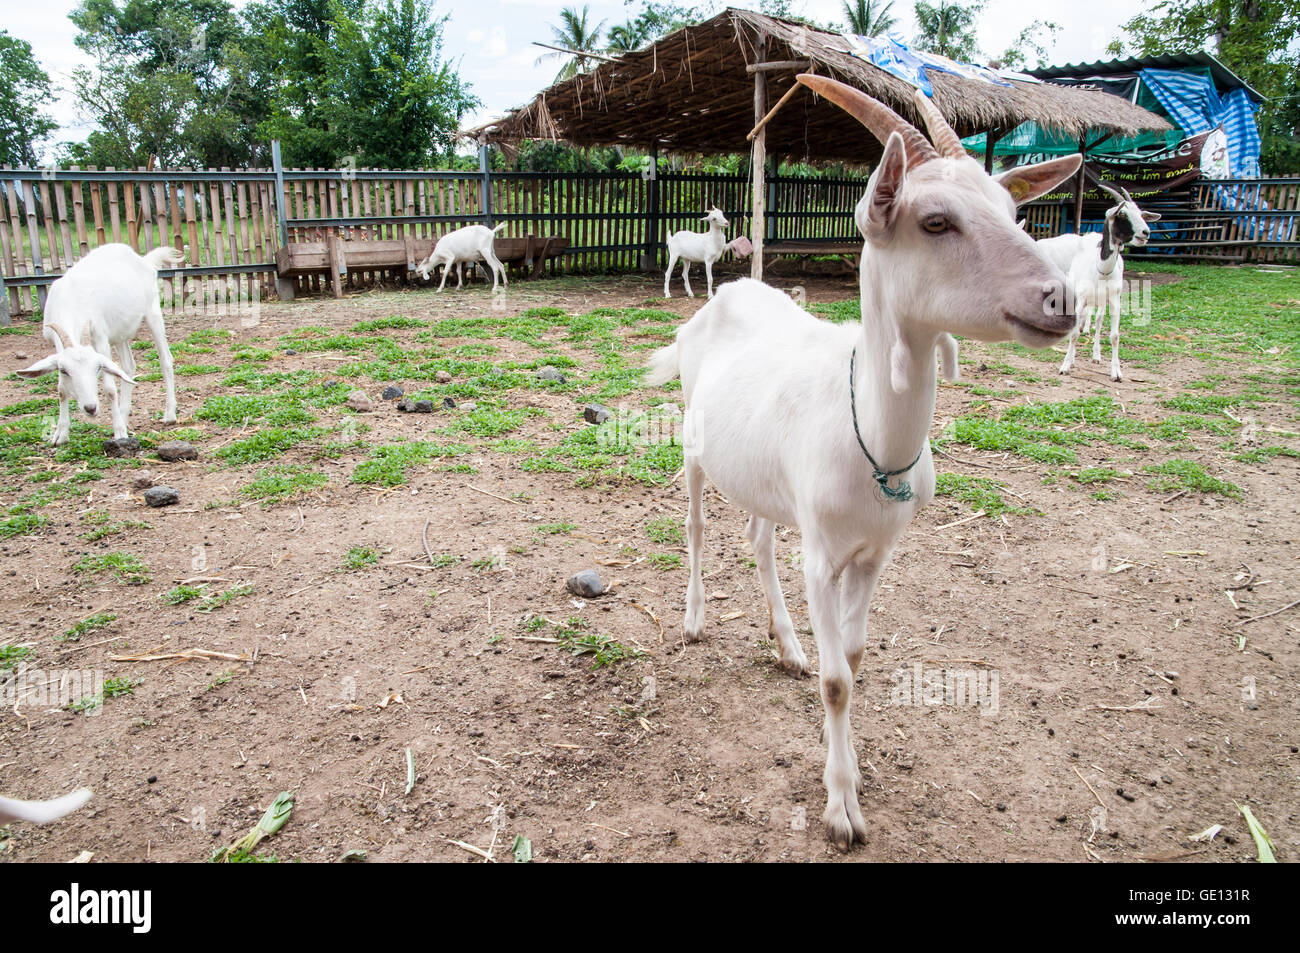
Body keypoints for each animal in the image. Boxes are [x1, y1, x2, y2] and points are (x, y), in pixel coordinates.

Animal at [17, 244, 185, 445]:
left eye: (97, 368)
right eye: (64, 371)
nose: (90, 408)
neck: (71, 302)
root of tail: (143, 259)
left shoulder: (101, 340)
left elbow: (110, 390)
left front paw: (119, 433)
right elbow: (62, 390)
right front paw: (60, 434)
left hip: (153, 312)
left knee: (165, 359)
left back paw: (169, 414)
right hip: (120, 332)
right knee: (128, 366)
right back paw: (124, 415)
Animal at [644, 76, 1082, 848]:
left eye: (1012, 212)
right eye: (936, 221)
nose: (1061, 299)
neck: (877, 444)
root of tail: (726, 295)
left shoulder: (874, 552)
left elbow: (851, 658)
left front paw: (842, 756)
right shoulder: (823, 554)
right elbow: (836, 682)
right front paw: (841, 809)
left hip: (768, 482)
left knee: (759, 538)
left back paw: (788, 644)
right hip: (696, 445)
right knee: (695, 527)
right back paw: (695, 619)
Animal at [1038, 183, 1159, 381]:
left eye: (1141, 213)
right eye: (1122, 213)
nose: (1145, 232)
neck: (1102, 270)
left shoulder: (1115, 300)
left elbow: (1115, 335)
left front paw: (1116, 371)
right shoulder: (1080, 299)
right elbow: (1074, 333)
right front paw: (1065, 365)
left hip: (1101, 302)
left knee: (1099, 321)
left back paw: (1096, 355)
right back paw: (1073, 358)